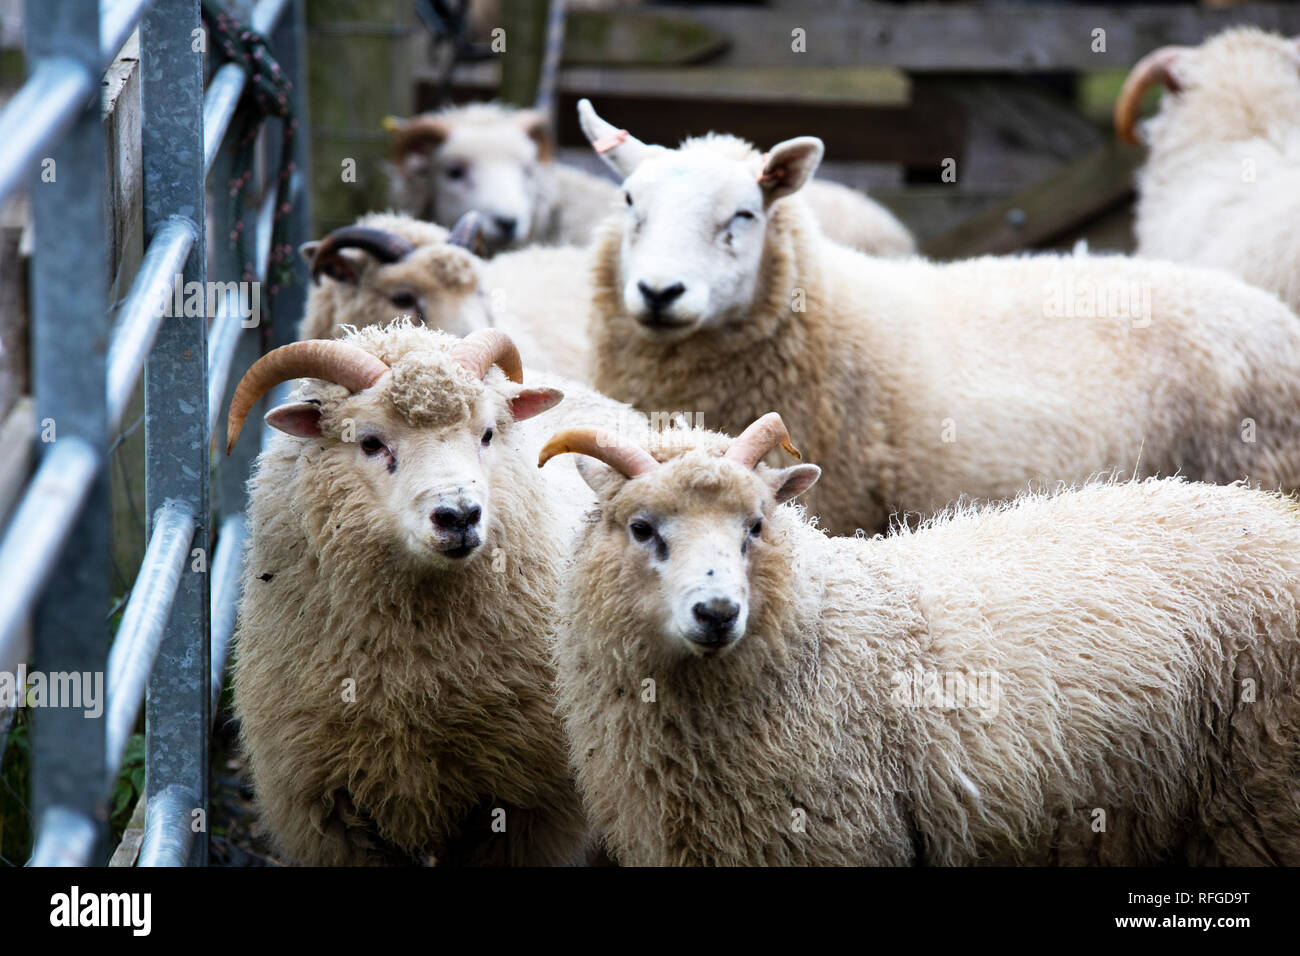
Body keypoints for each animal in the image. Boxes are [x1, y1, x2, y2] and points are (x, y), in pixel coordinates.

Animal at [227, 324, 644, 865]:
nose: (459, 516)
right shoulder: (329, 813)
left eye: (487, 434)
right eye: (369, 442)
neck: (416, 678)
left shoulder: (527, 810)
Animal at [541, 415, 1300, 866]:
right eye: (641, 528)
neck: (828, 616)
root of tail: (1265, 507)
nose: (718, 612)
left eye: (756, 525)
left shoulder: (839, 839)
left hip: (1260, 793)